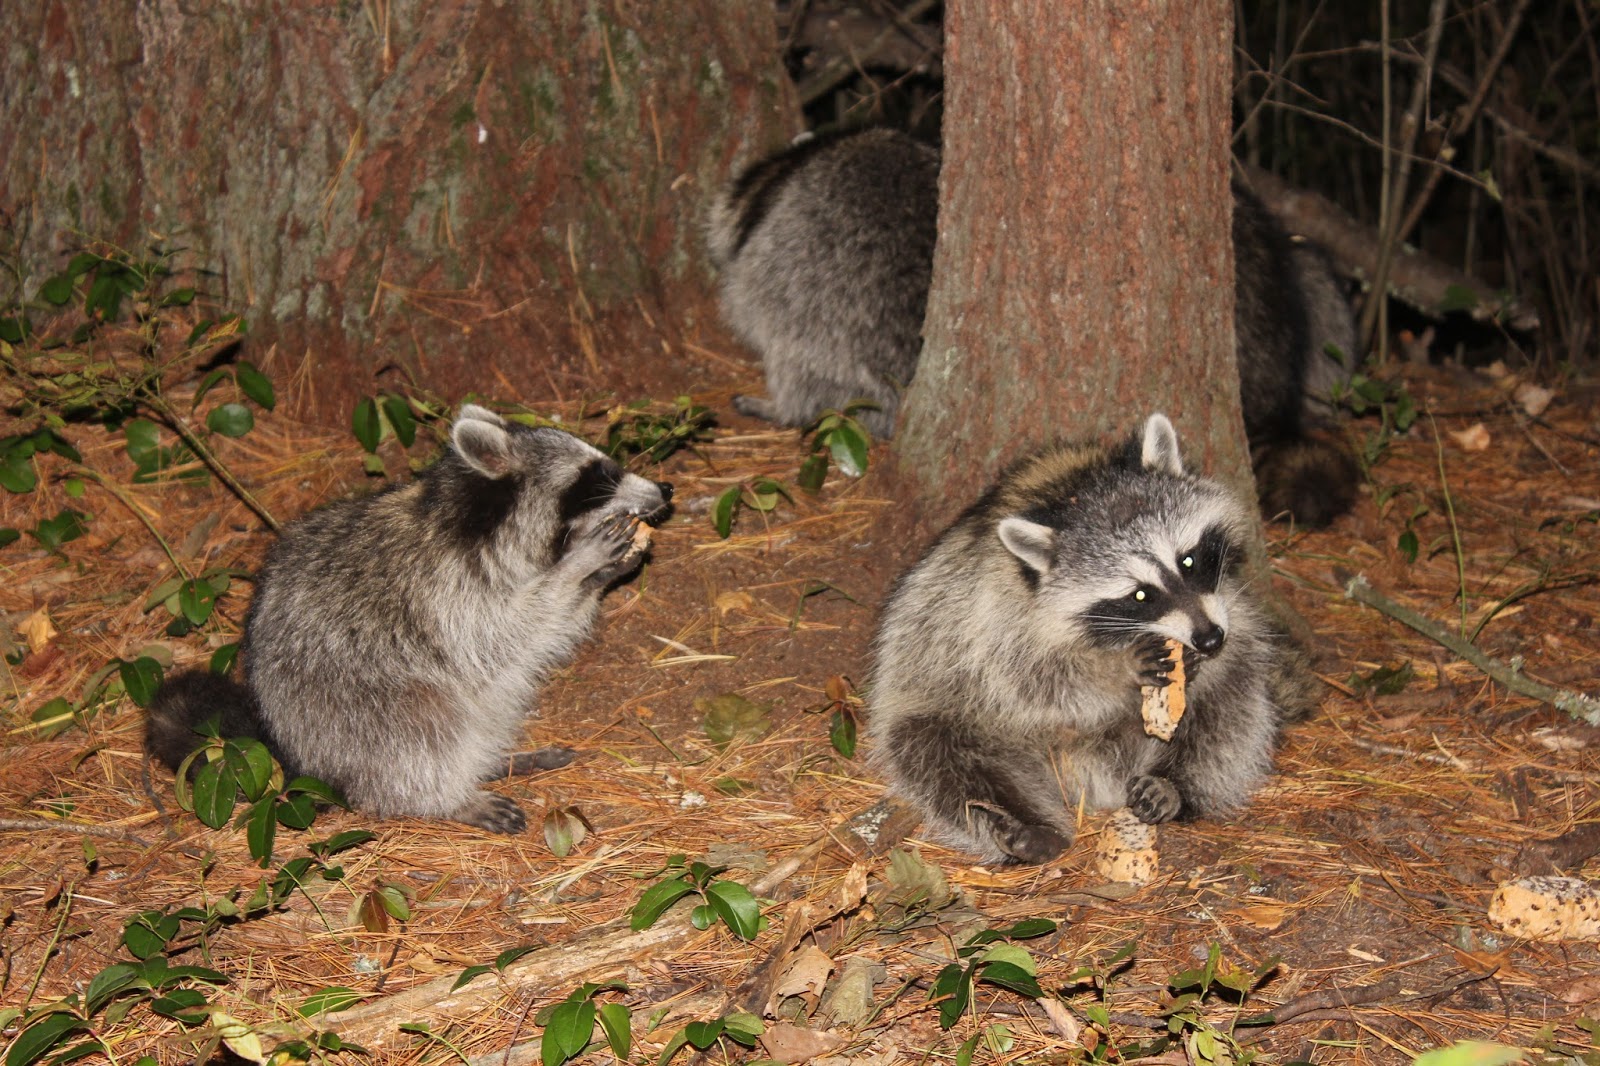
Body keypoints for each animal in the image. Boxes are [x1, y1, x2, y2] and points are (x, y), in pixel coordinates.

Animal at [145, 405, 673, 833]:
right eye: (600, 474)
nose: (665, 487)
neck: (474, 525)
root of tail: (299, 758)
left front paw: (600, 571)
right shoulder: (445, 594)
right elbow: (511, 628)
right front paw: (579, 567)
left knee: (489, 704)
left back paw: (491, 759)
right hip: (353, 710)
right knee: (422, 731)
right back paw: (446, 796)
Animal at [867, 414, 1314, 865]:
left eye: (1188, 560)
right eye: (1140, 595)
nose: (1208, 640)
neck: (1077, 485)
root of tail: (1097, 780)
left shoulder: (1228, 606)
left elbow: (1235, 657)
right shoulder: (989, 611)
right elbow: (1031, 681)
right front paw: (1115, 671)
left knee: (1229, 709)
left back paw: (1175, 784)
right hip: (943, 697)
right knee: (934, 748)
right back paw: (1024, 822)